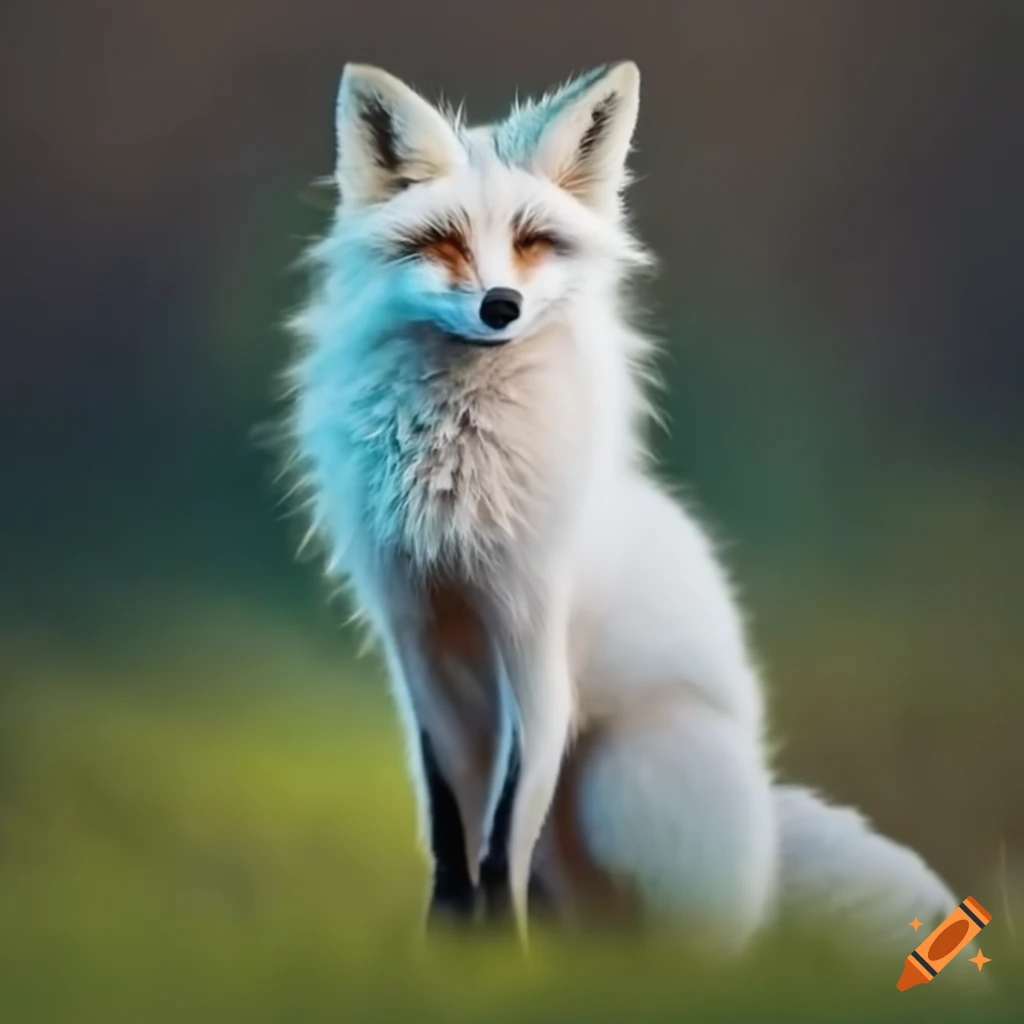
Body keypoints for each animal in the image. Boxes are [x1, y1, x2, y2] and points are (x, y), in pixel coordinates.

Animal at [284, 60, 960, 959]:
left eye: (534, 240)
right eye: (444, 241)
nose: (500, 306)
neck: (455, 484)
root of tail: (762, 859)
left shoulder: (534, 638)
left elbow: (501, 838)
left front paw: (499, 961)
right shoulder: (421, 639)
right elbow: (452, 831)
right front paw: (450, 955)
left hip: (625, 779)